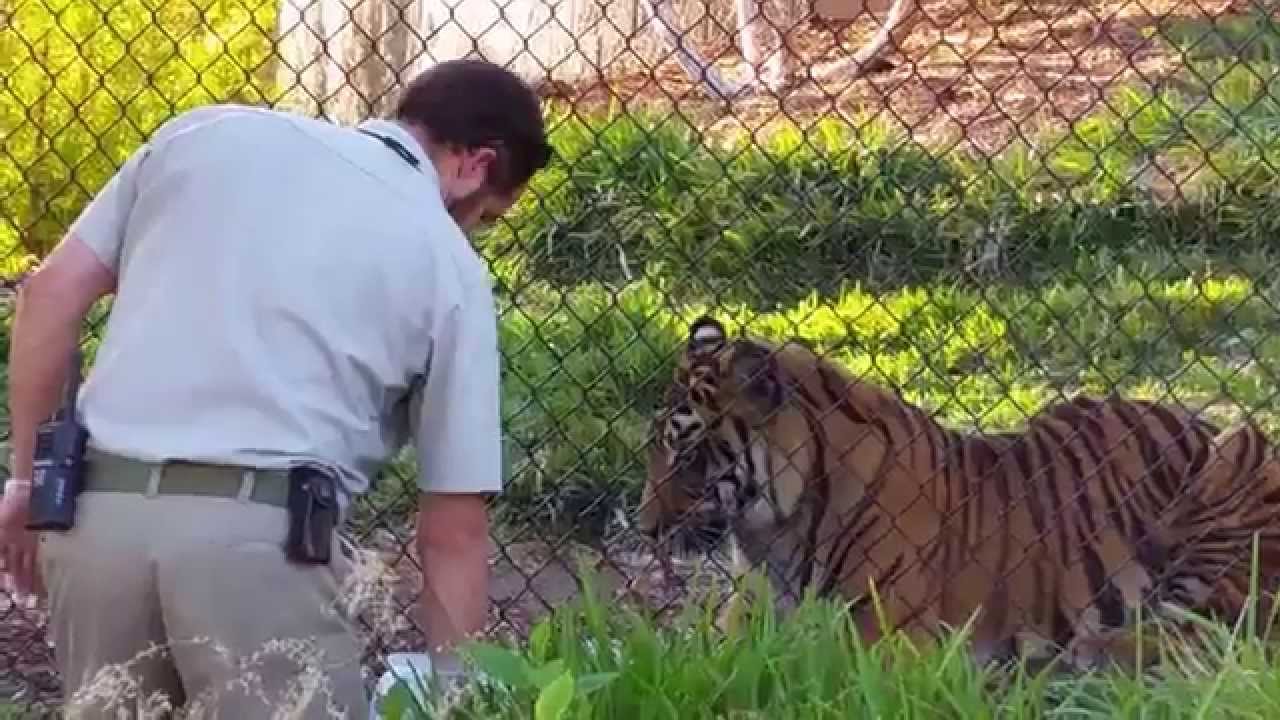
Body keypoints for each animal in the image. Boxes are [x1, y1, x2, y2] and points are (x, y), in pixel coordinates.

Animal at [636, 314, 1280, 672]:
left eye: (687, 455)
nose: (642, 528)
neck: (775, 529)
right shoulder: (744, 614)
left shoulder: (888, 635)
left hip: (1230, 485)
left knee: (1220, 631)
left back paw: (1089, 652)